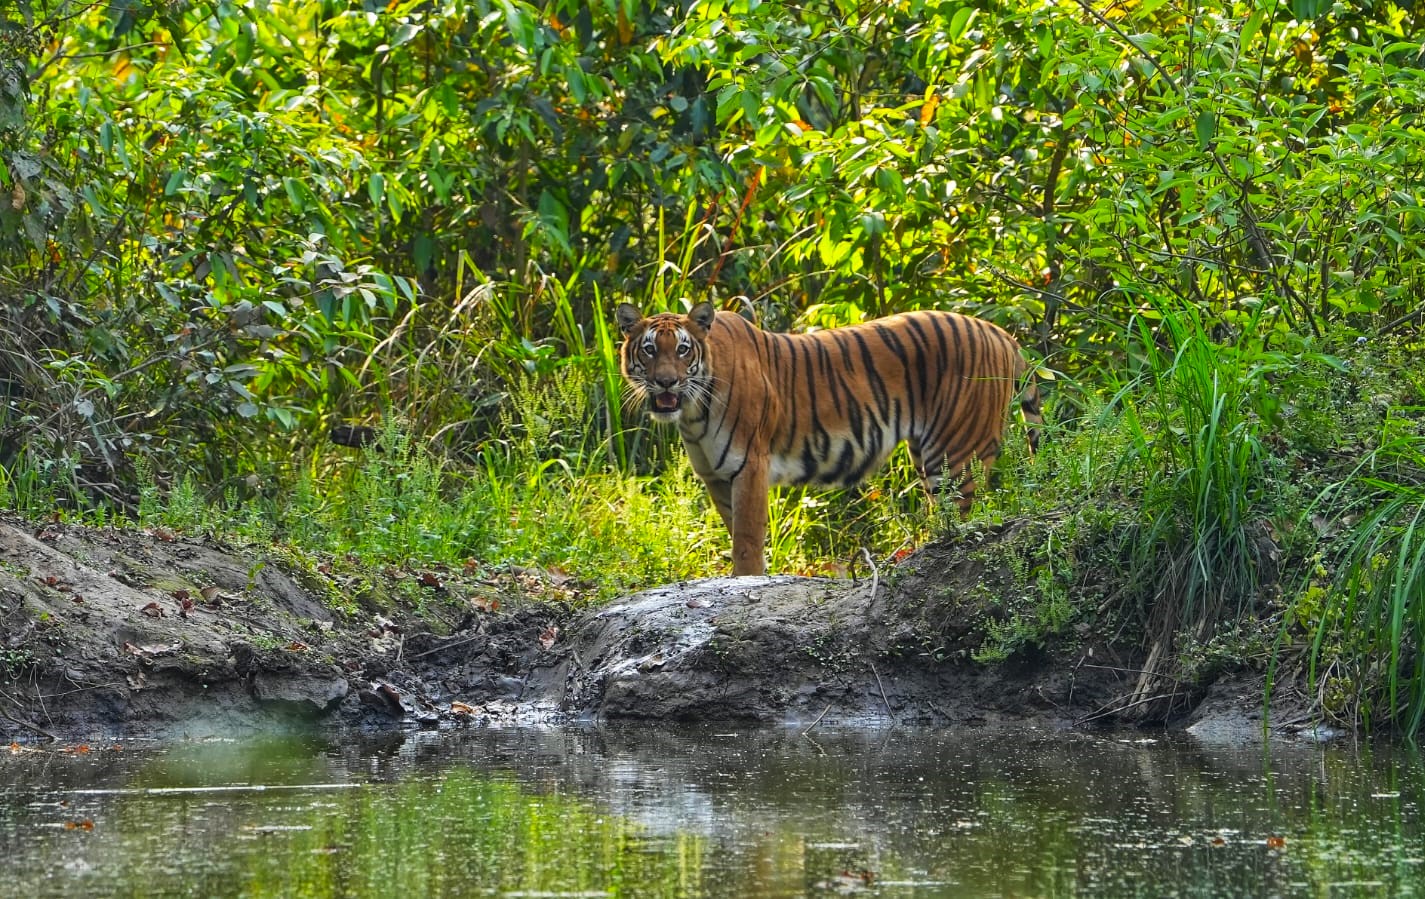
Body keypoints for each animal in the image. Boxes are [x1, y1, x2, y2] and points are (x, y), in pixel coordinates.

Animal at [616, 302, 1041, 576]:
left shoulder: (749, 466)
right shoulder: (717, 477)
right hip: (930, 457)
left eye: (683, 350)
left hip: (956, 453)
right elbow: (736, 531)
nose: (666, 381)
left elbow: (748, 542)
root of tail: (1000, 333)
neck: (692, 413)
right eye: (650, 349)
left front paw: (744, 582)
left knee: (966, 519)